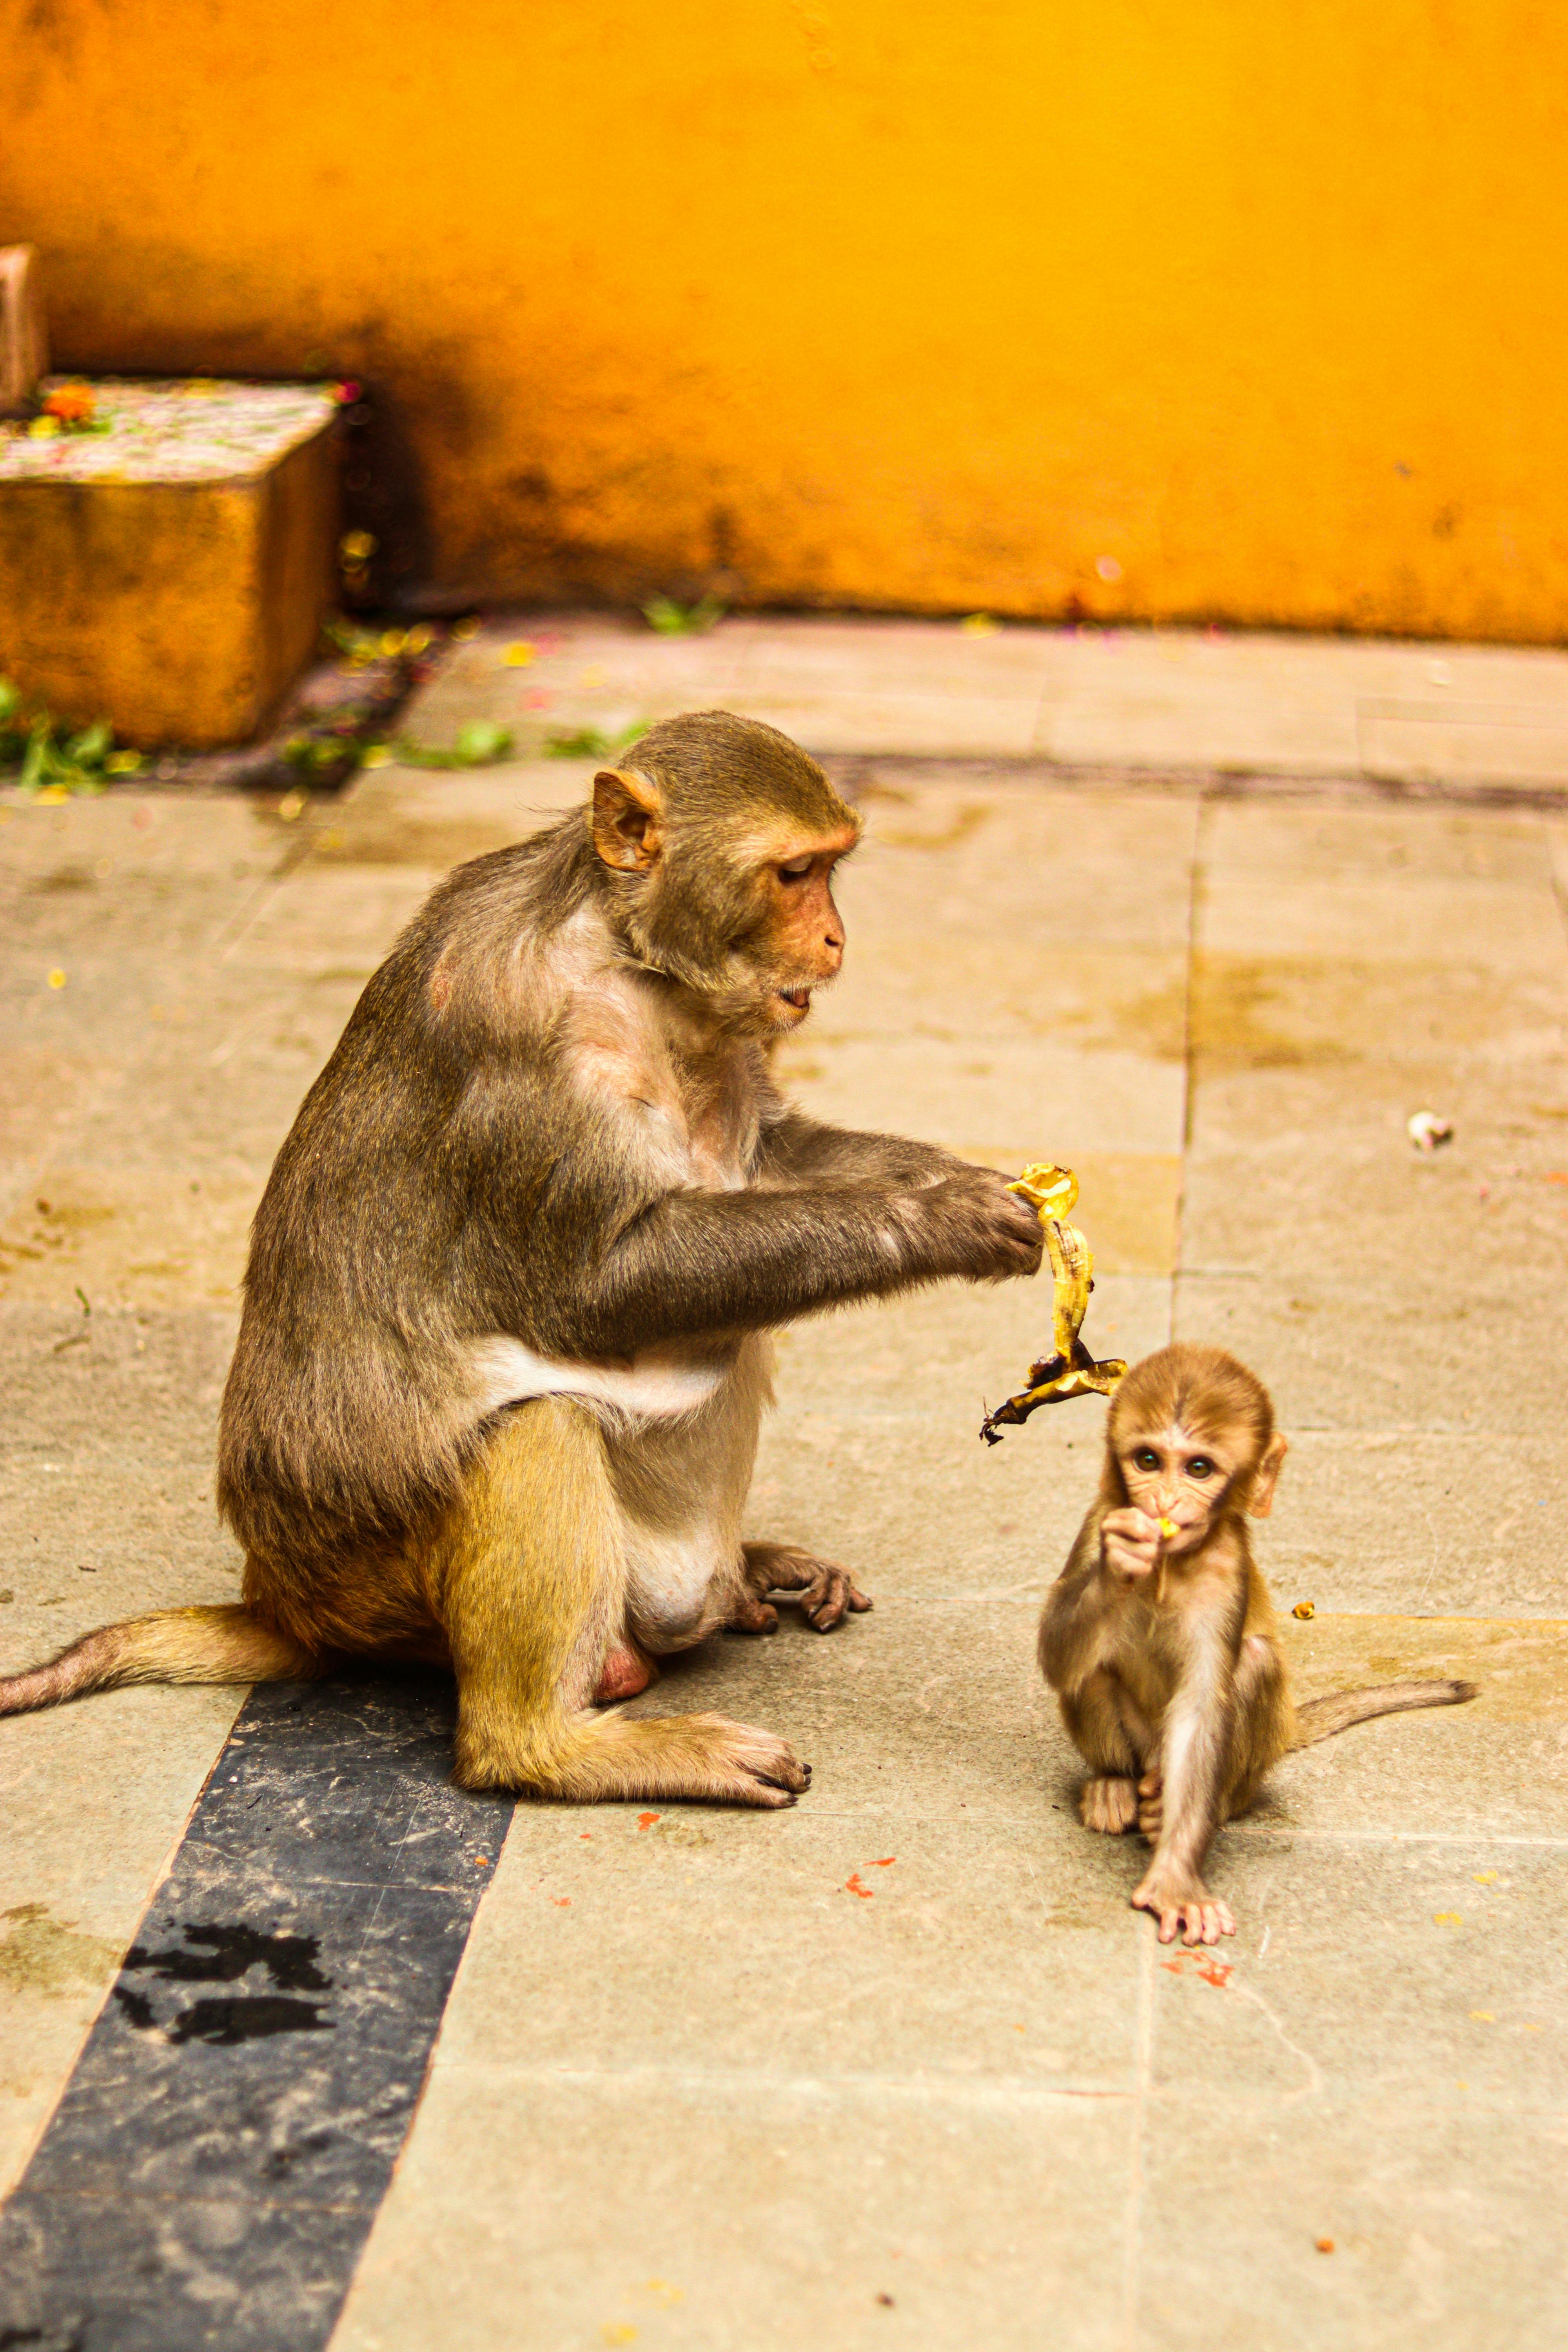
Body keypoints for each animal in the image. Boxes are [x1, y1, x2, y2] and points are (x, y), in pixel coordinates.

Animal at [0, 711, 1044, 1809]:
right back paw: (553, 1746)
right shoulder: (526, 1039)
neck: (633, 960)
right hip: (373, 1582)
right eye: (794, 873)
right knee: (534, 1432)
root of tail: (281, 1601)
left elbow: (768, 1156)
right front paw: (938, 1219)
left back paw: (748, 1576)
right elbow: (604, 1288)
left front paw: (965, 1183)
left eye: (829, 870)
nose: (836, 937)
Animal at [1039, 1343, 1475, 1945]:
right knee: (1094, 1666)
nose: (1164, 1502)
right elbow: (1058, 1656)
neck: (1174, 1562)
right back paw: (1113, 1786)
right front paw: (1117, 1565)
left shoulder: (1227, 1574)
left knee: (1255, 1664)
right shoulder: (1098, 1519)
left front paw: (1175, 1878)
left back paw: (1193, 1810)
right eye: (1148, 1461)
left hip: (1237, 1761)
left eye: (1199, 1469)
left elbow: (1203, 1704)